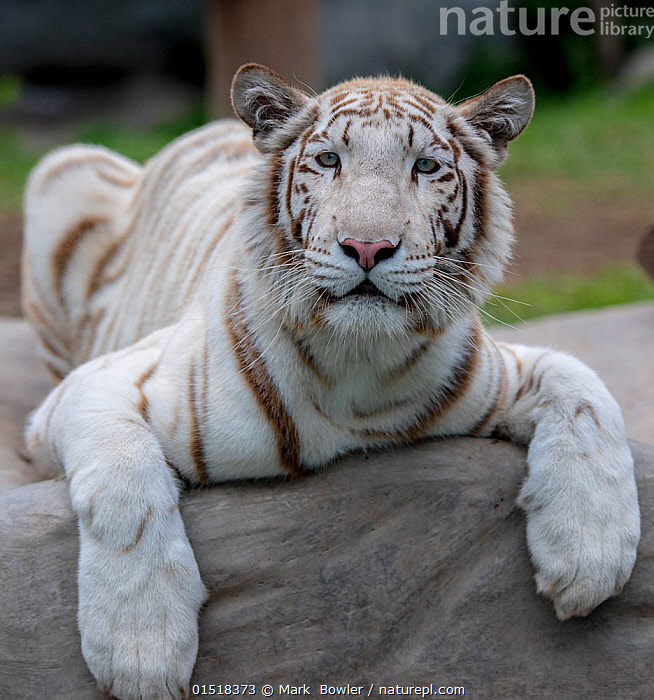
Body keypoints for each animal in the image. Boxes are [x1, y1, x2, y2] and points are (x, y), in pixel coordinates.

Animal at [22, 64, 640, 700]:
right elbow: (126, 489)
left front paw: (589, 559)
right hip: (61, 173)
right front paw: (140, 651)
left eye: (425, 166)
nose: (368, 247)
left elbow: (587, 392)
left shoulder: (492, 370)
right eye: (327, 160)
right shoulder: (101, 383)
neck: (357, 367)